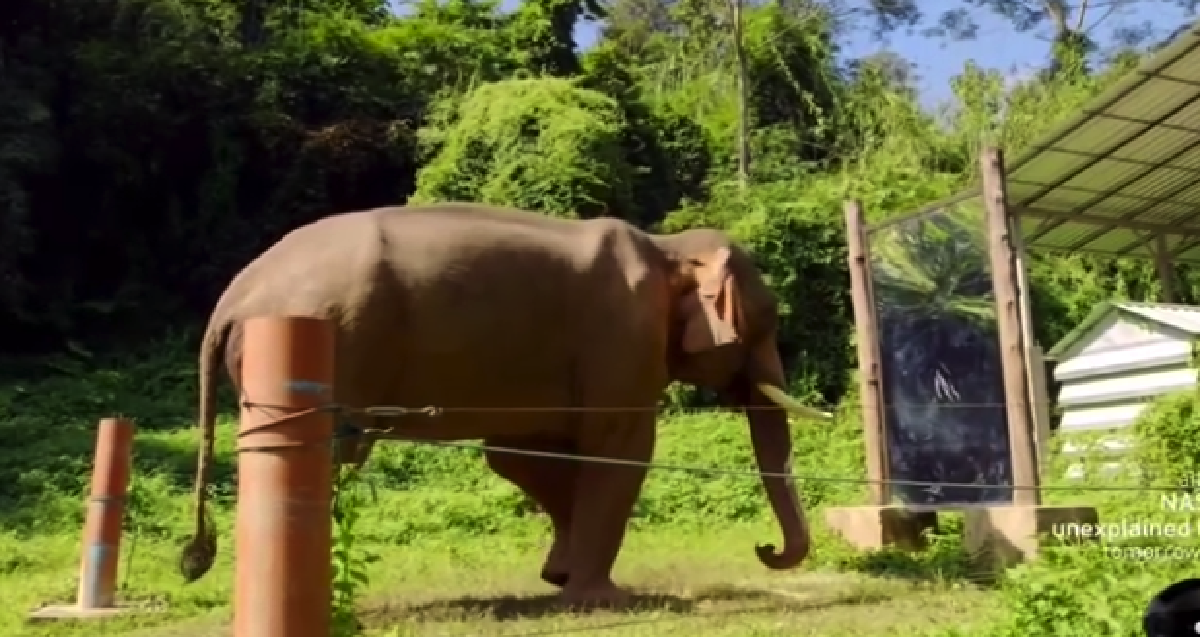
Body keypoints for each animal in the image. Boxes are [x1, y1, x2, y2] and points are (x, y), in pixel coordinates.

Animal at [179, 202, 830, 606]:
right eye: (766, 323)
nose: (765, 549)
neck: (667, 247)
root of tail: (232, 298)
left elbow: (519, 454)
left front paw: (558, 576)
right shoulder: (620, 339)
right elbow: (621, 448)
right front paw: (602, 599)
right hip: (332, 344)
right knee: (335, 453)